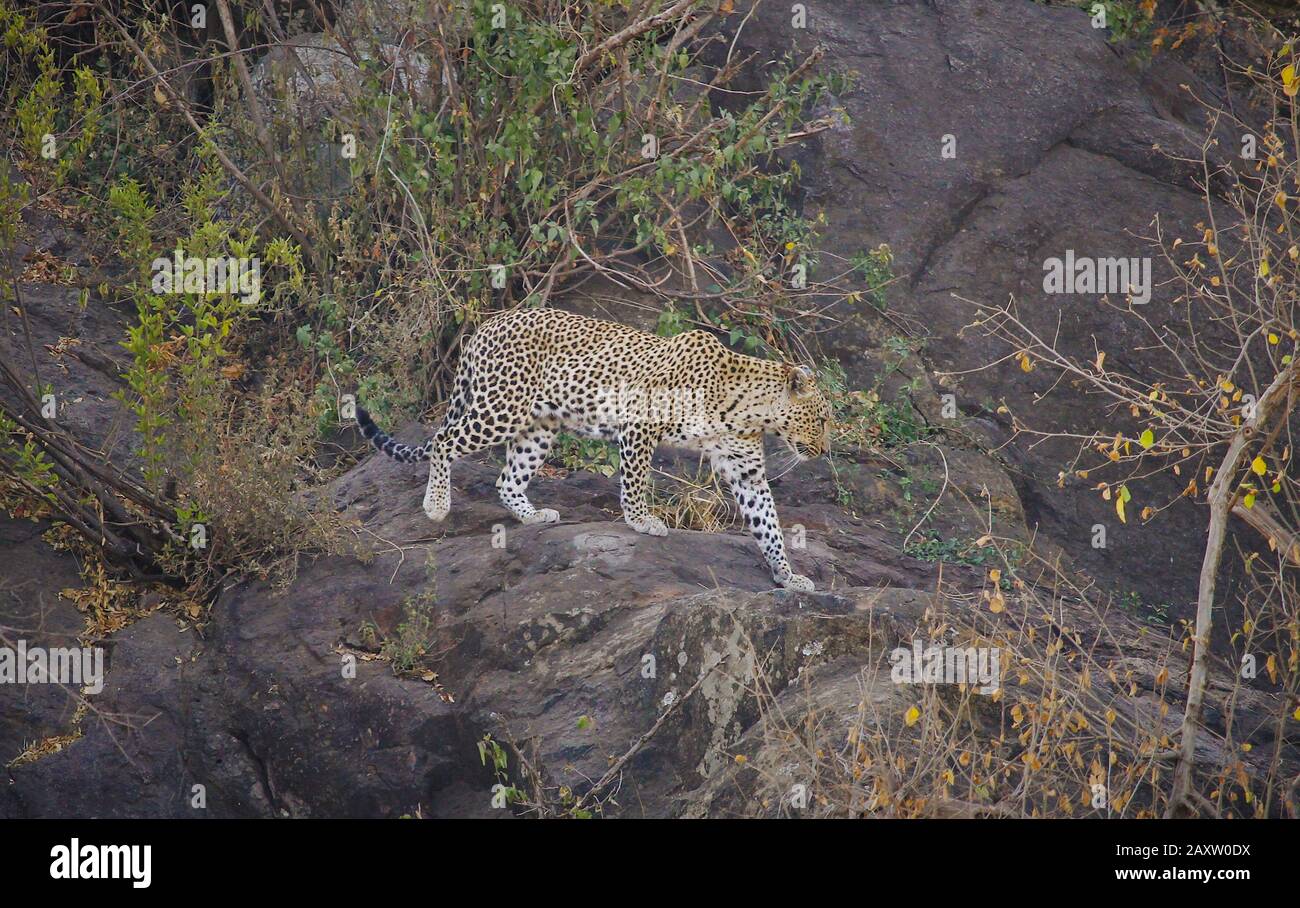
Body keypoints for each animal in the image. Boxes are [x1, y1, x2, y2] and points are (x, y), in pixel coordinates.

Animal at [356, 307, 830, 591]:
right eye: (822, 418)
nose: (824, 451)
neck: (747, 410)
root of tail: (488, 324)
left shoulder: (745, 469)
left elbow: (768, 523)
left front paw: (788, 576)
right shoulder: (639, 424)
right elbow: (635, 481)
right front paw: (642, 522)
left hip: (538, 426)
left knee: (506, 479)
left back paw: (532, 516)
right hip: (500, 409)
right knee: (443, 440)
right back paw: (436, 504)